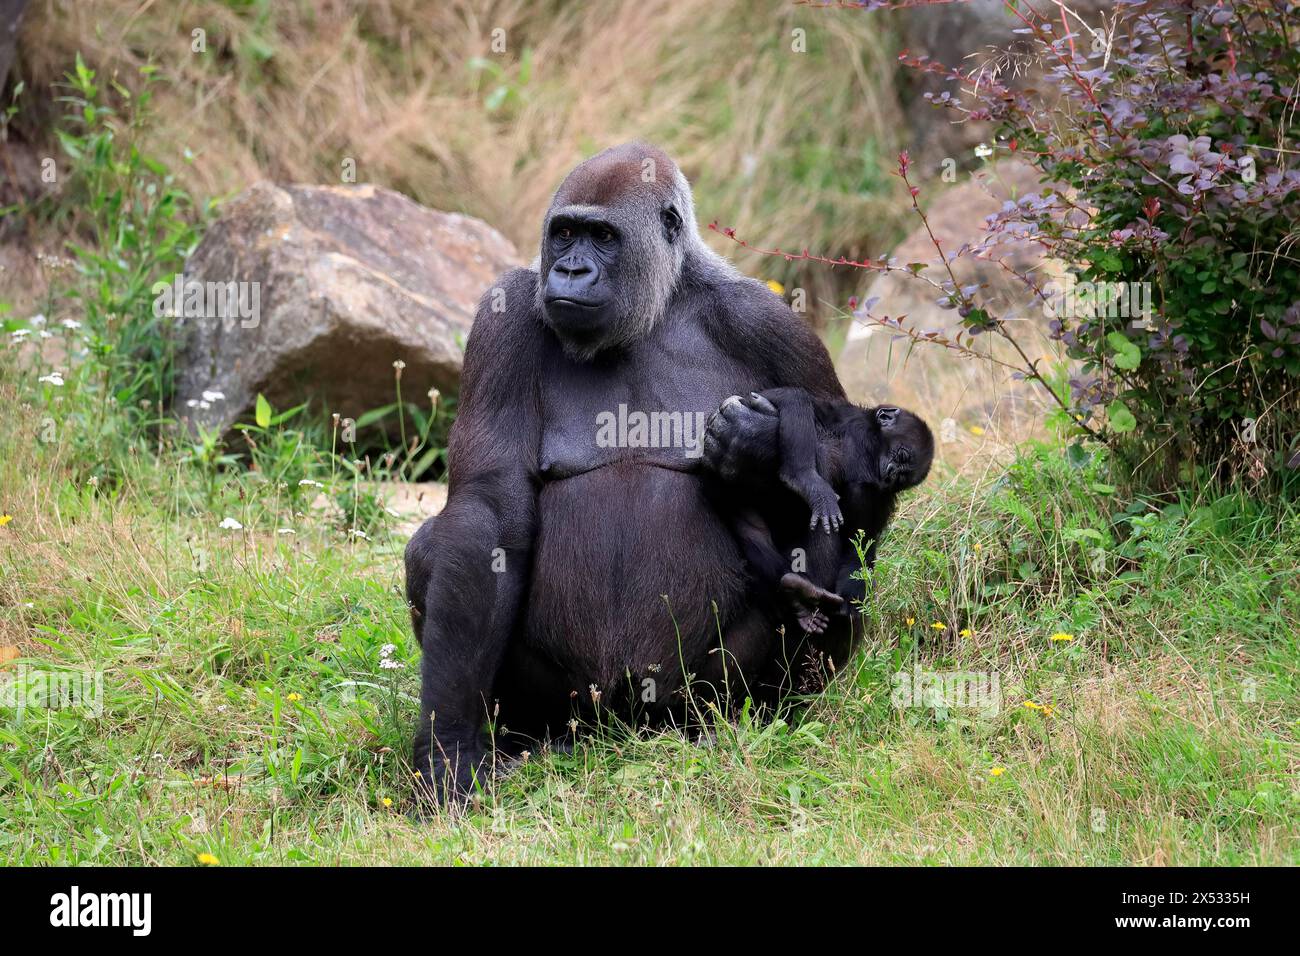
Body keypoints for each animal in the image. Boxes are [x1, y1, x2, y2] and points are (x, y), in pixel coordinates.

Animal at [404, 142, 859, 803]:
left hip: (693, 702)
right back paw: (522, 741)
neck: (660, 302)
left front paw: (754, 444)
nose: (570, 272)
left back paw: (768, 713)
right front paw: (449, 746)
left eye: (603, 237)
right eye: (564, 233)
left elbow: (855, 462)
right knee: (432, 550)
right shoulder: (504, 312)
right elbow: (489, 510)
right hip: (573, 709)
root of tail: (627, 729)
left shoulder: (770, 320)